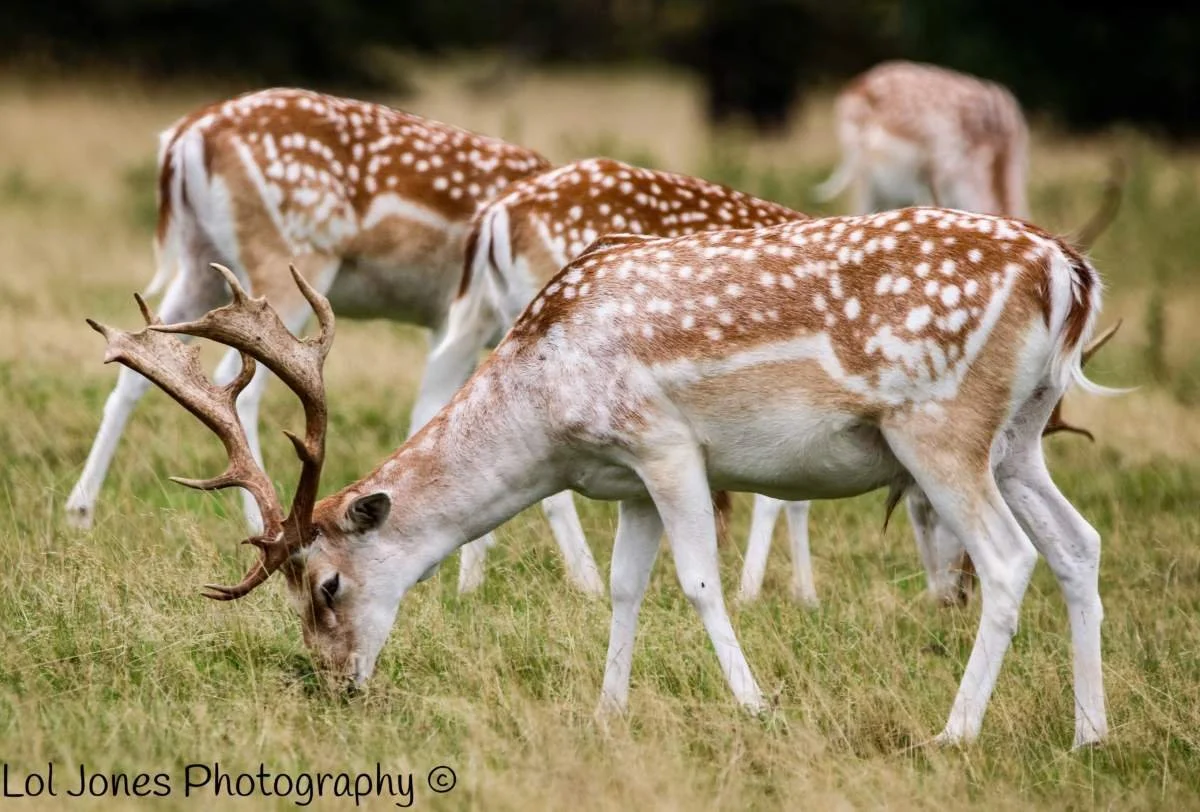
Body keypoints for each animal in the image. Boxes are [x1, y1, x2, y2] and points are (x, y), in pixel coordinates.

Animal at [62, 87, 556, 591]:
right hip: (287, 259)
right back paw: (258, 530)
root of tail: (187, 134)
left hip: (202, 262)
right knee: (239, 380)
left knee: (142, 362)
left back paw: (79, 512)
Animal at [89, 204, 1115, 749]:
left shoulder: (662, 442)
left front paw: (756, 706)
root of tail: (1070, 275)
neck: (546, 412)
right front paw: (606, 711)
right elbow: (625, 588)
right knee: (1080, 545)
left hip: (938, 427)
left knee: (1010, 560)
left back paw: (954, 733)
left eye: (328, 586)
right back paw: (1089, 733)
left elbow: (697, 582)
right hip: (1020, 435)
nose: (336, 684)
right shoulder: (624, 481)